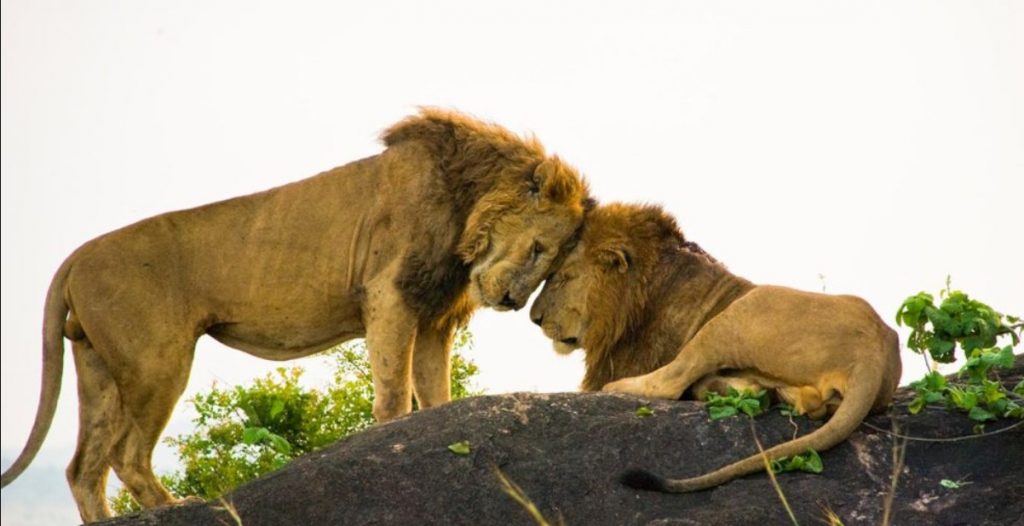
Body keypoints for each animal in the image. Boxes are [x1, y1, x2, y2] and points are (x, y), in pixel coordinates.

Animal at [1, 109, 591, 522]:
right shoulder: (388, 295)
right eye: (539, 249)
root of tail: (76, 257)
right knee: (125, 455)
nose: (512, 302)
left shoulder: (433, 318)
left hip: (97, 367)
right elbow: (394, 394)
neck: (466, 201)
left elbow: (435, 393)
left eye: (555, 263)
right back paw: (173, 504)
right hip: (157, 363)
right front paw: (392, 437)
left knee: (83, 467)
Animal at [529, 203, 902, 493]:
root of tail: (873, 352)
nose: (535, 318)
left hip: (738, 313)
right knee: (802, 403)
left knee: (669, 383)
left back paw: (622, 387)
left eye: (562, 277)